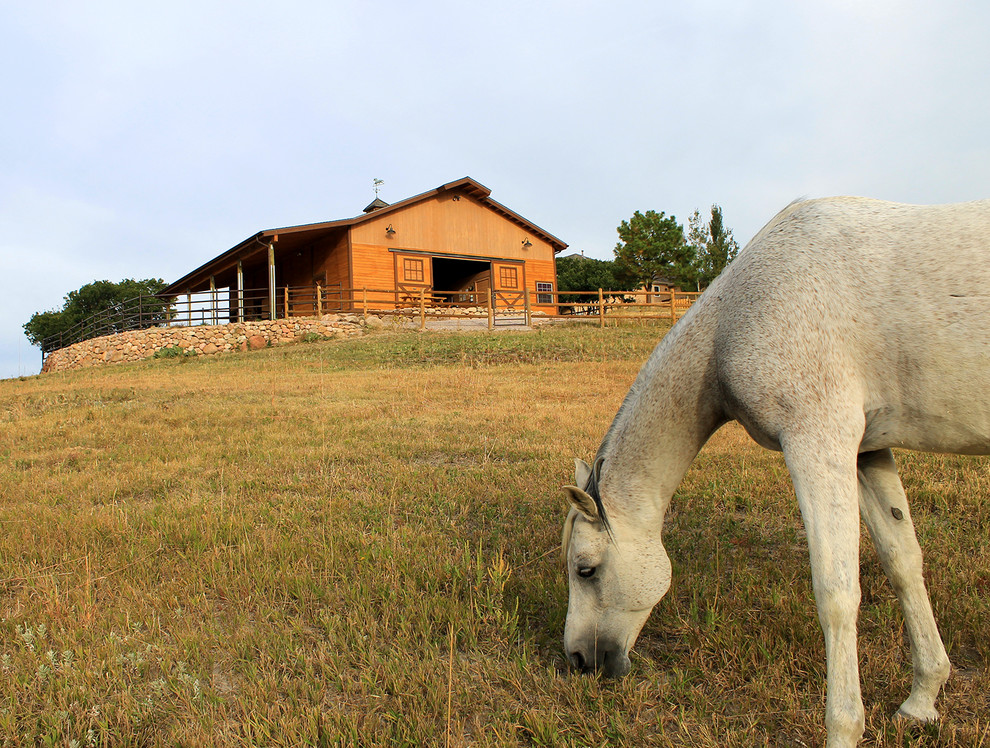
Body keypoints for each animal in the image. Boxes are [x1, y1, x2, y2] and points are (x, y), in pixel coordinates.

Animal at [561, 197, 989, 747]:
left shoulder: (818, 442)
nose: (578, 659)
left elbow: (836, 593)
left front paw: (843, 729)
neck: (739, 312)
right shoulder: (866, 451)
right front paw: (923, 698)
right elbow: (903, 563)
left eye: (586, 570)